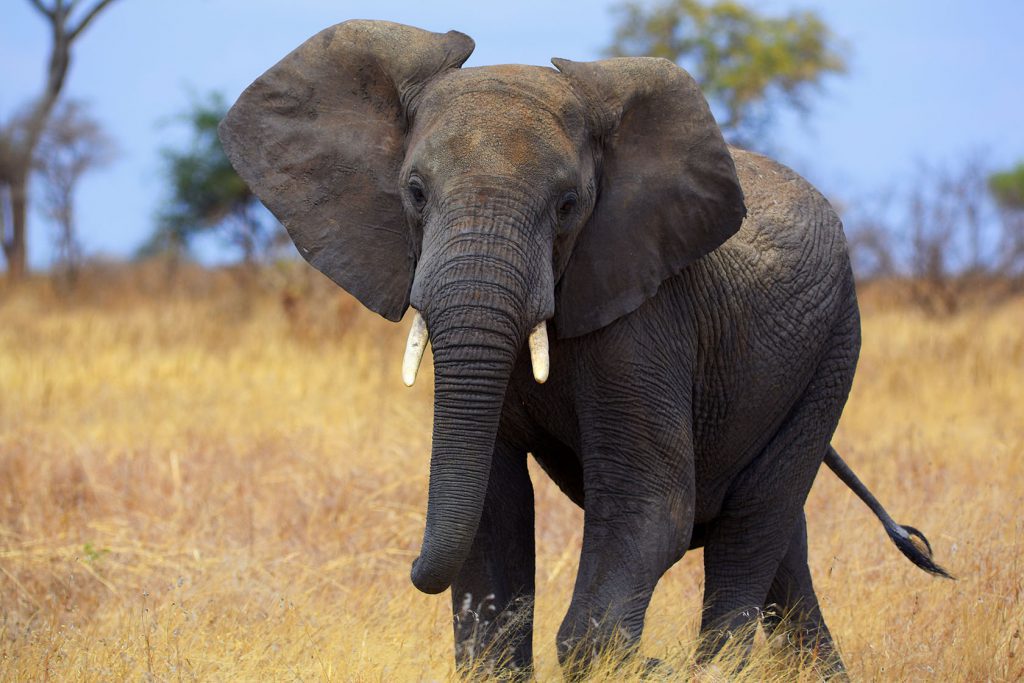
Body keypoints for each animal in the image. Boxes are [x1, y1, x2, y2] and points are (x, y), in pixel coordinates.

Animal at [219, 20, 951, 677]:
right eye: (415, 193)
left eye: (569, 204)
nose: (407, 566)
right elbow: (491, 507)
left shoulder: (646, 318)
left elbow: (650, 506)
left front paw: (641, 662)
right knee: (781, 545)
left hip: (835, 349)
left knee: (751, 524)